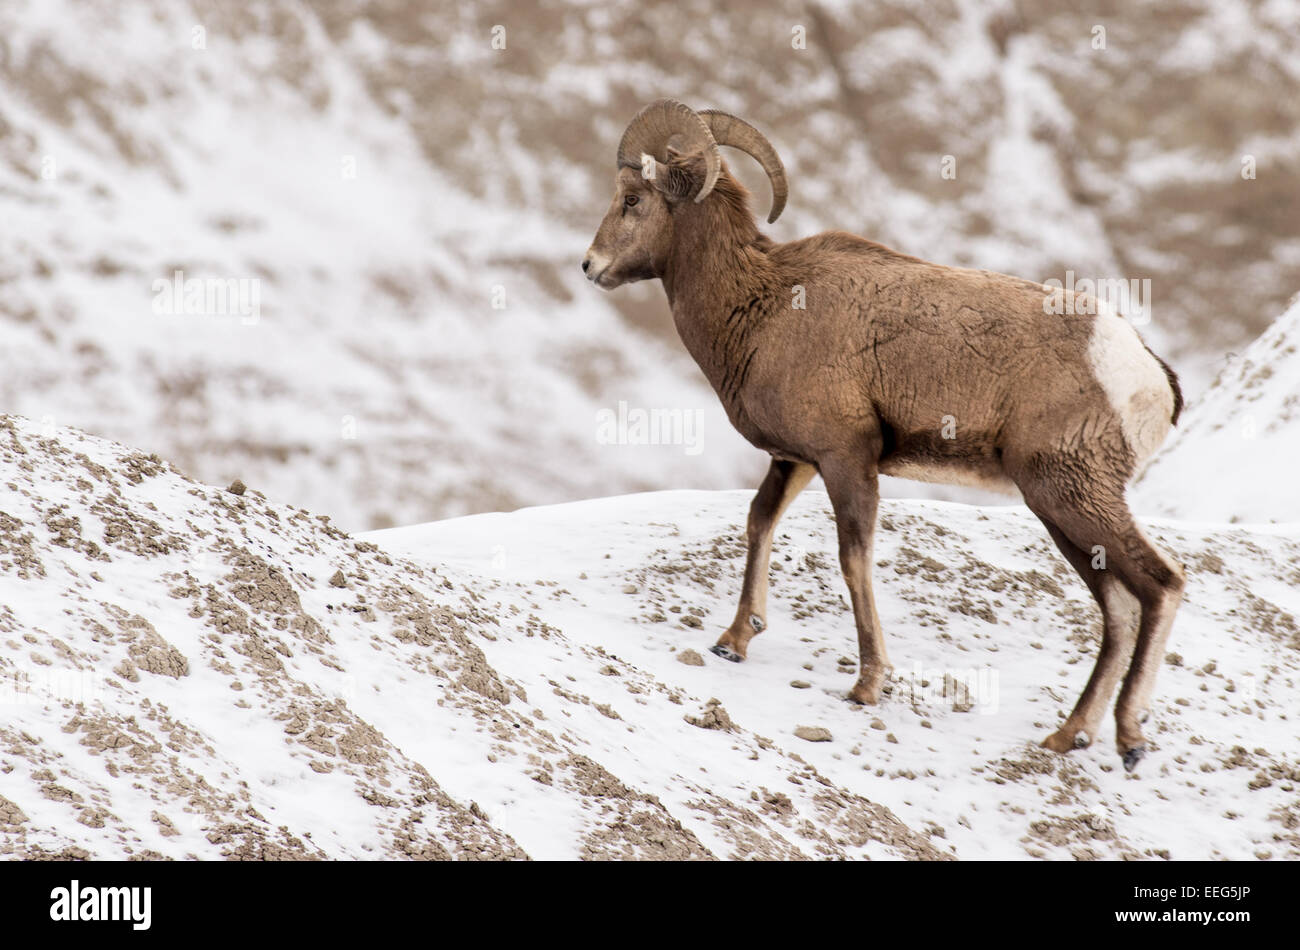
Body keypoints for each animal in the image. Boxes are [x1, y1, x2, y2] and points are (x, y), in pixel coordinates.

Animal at [582, 99, 1185, 771]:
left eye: (632, 198)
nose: (590, 266)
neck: (761, 305)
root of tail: (1147, 372)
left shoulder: (846, 459)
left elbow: (854, 558)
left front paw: (868, 684)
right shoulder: (796, 460)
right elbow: (759, 522)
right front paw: (734, 641)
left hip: (1071, 496)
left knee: (1161, 587)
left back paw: (1130, 738)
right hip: (1060, 510)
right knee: (1120, 608)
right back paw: (1068, 735)